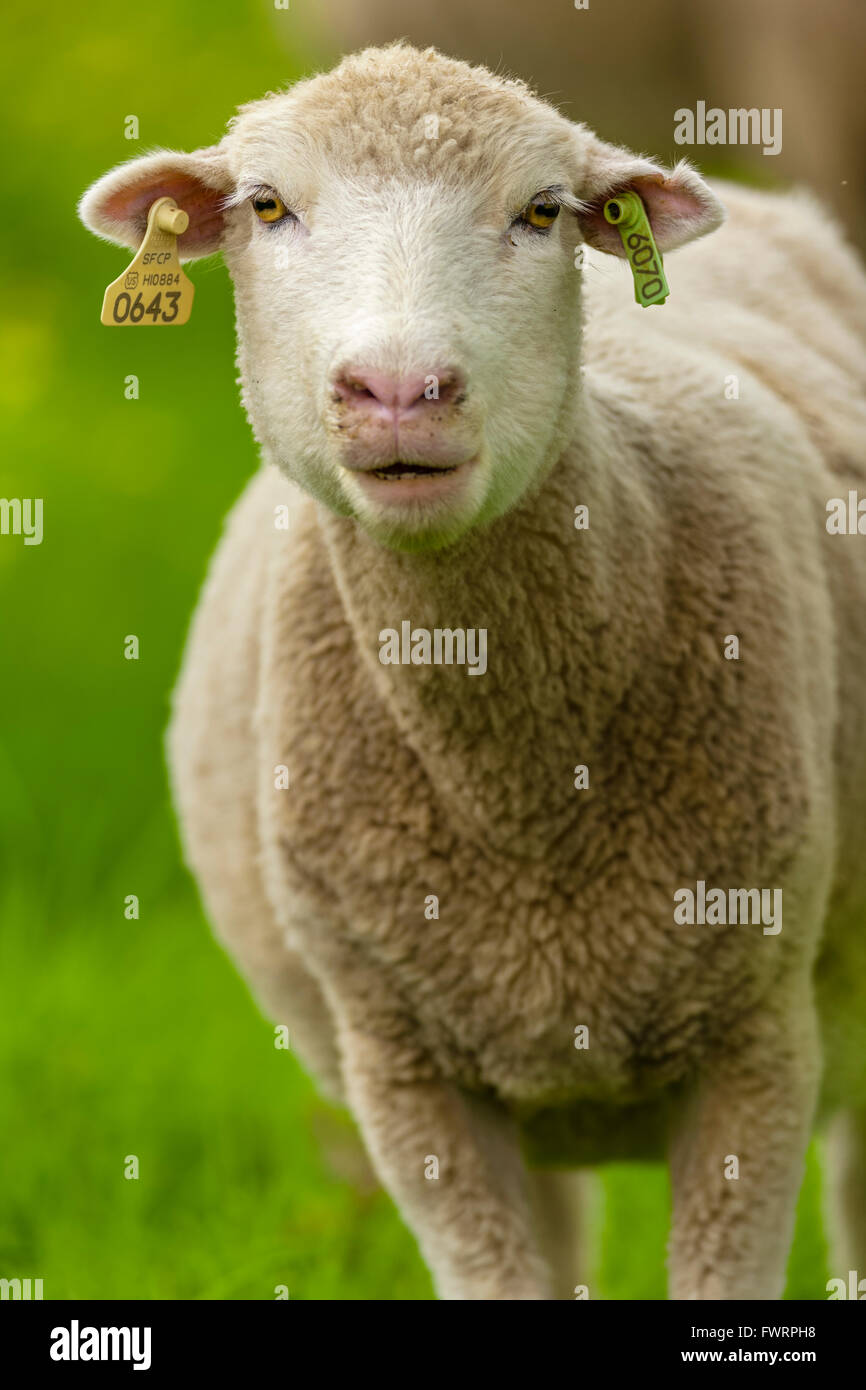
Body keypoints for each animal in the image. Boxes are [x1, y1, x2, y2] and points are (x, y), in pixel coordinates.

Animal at [79, 42, 866, 1300]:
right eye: (266, 206)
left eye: (540, 211)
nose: (401, 393)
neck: (520, 807)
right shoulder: (406, 1070)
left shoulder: (757, 1036)